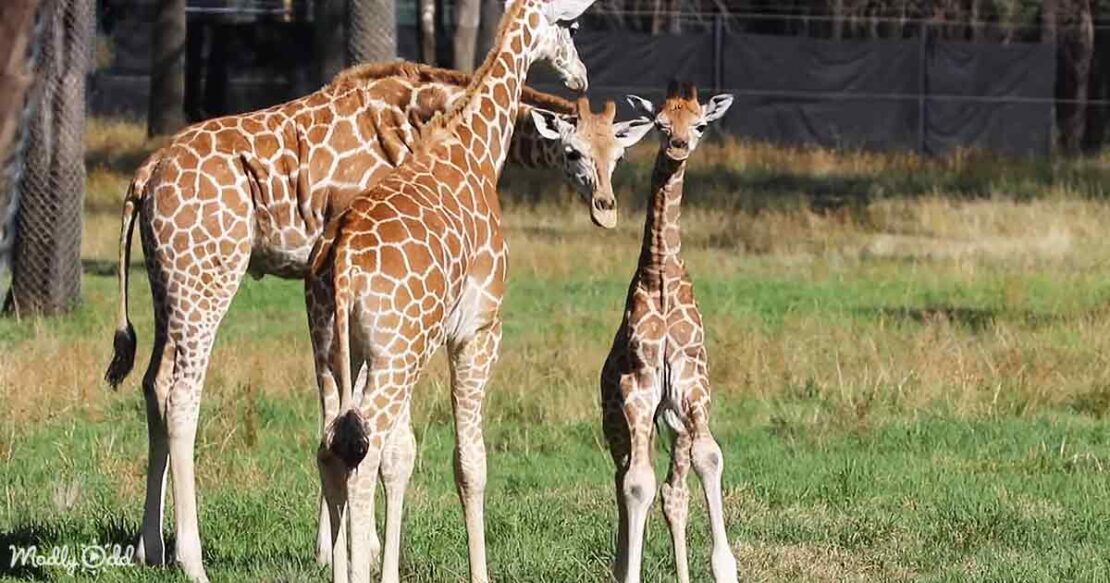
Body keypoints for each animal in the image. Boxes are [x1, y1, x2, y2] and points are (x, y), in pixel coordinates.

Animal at [100, 60, 636, 581]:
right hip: (208, 280)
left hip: (168, 284)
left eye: (617, 156)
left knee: (154, 384)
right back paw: (190, 558)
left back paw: (150, 547)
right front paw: (357, 551)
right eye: (572, 153)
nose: (606, 207)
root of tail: (144, 176)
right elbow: (365, 430)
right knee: (183, 395)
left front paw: (338, 549)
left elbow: (340, 417)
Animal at [307, 0, 640, 580]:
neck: (475, 148)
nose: (580, 74)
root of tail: (342, 258)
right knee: (360, 453)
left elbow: (407, 454)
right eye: (570, 25)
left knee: (333, 446)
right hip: (396, 354)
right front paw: (479, 571)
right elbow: (470, 462)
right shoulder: (479, 329)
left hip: (337, 349)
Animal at [599, 82, 738, 583]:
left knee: (674, 491)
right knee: (625, 478)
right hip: (616, 421)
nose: (678, 146)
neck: (661, 278)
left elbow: (709, 458)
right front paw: (630, 570)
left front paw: (724, 566)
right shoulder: (638, 389)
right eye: (660, 124)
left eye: (699, 124)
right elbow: (637, 486)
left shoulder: (693, 386)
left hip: (674, 422)